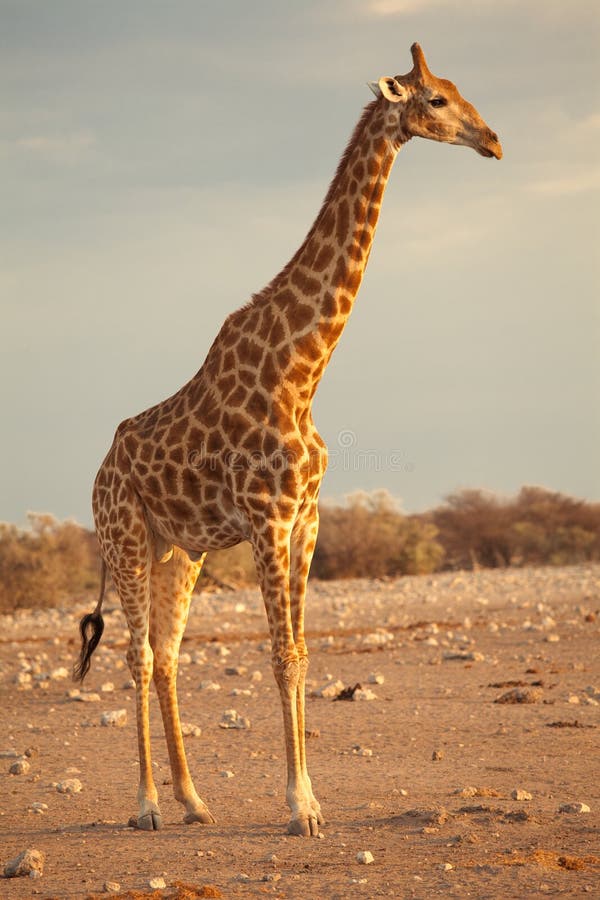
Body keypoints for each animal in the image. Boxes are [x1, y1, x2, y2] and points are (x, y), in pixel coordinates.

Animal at [76, 43, 501, 836]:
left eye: (460, 90)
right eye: (434, 99)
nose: (493, 140)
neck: (302, 371)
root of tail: (99, 470)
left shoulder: (306, 520)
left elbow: (299, 654)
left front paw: (312, 798)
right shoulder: (269, 519)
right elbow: (276, 654)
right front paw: (299, 805)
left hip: (178, 551)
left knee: (168, 655)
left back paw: (194, 799)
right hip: (124, 537)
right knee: (137, 656)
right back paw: (147, 805)